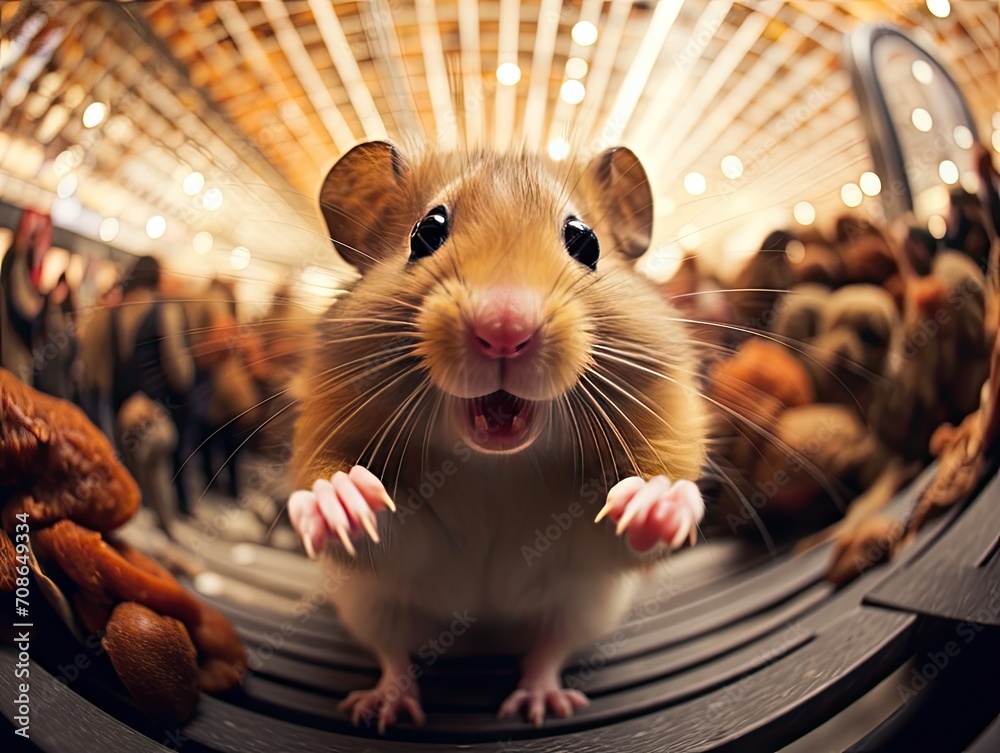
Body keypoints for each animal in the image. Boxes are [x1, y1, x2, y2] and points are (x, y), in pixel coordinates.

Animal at [287, 141, 707, 730]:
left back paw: (539, 706)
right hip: (367, 604)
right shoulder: (396, 540)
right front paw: (341, 499)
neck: (498, 462)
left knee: (549, 649)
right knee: (393, 653)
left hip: (587, 605)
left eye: (586, 241)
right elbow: (367, 520)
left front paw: (655, 500)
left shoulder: (590, 551)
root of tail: (479, 641)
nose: (504, 331)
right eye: (427, 232)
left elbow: (630, 525)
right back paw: (384, 709)